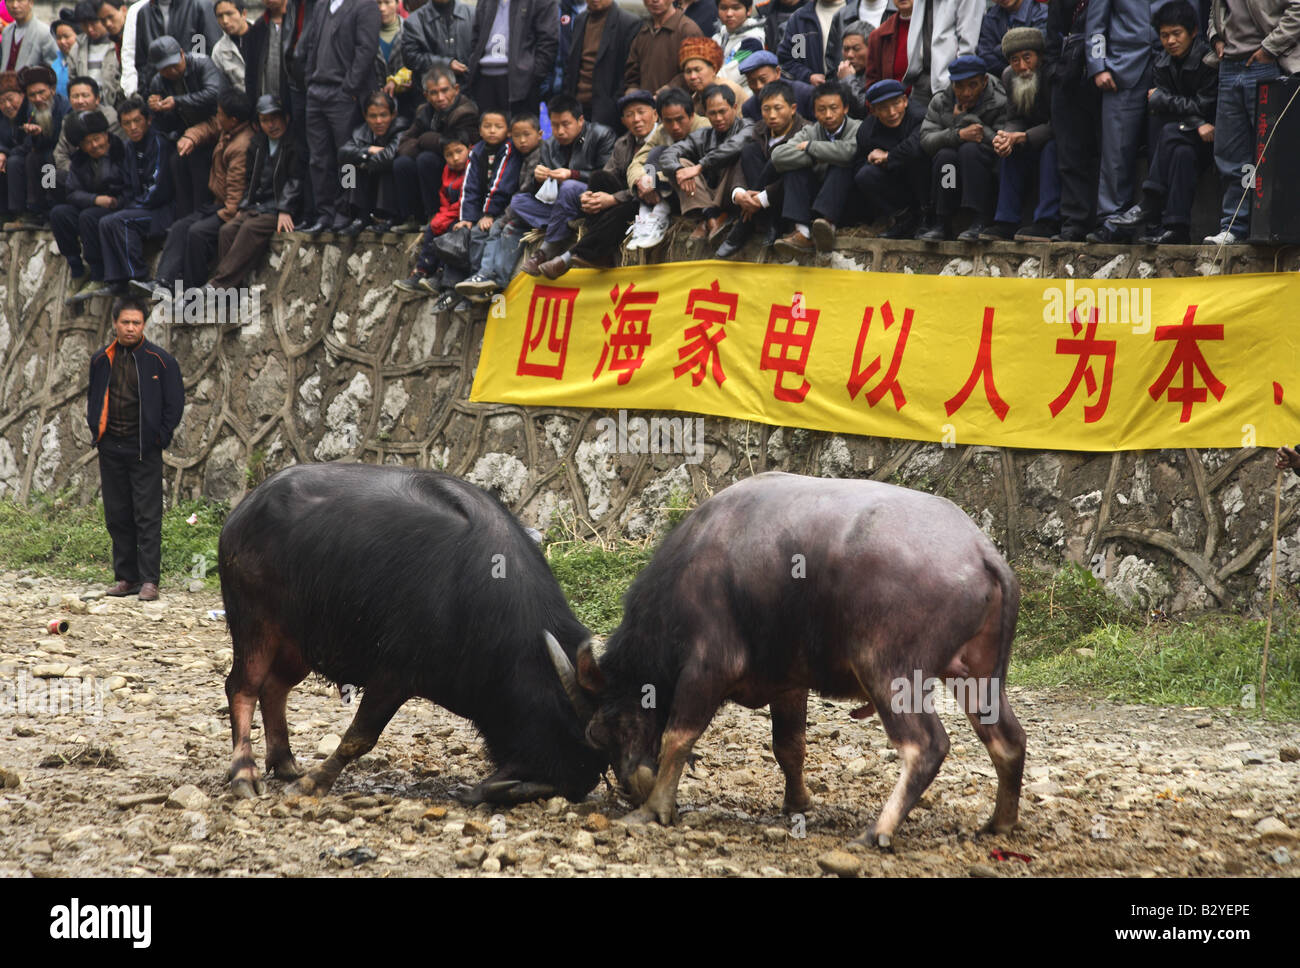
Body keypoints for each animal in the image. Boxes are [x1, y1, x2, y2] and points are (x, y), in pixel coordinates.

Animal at [219, 462, 606, 804]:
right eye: (568, 737)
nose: (573, 786)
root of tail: (248, 506)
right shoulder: (394, 674)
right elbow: (360, 737)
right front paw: (313, 784)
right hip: (254, 621)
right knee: (243, 687)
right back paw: (244, 775)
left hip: (298, 640)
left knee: (275, 688)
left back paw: (285, 763)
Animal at [551, 472, 1026, 848]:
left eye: (604, 730)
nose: (630, 787)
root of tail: (980, 551)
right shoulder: (788, 683)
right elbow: (789, 747)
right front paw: (797, 802)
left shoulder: (706, 667)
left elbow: (677, 736)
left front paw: (653, 809)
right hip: (978, 677)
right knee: (1007, 739)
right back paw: (999, 823)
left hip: (889, 671)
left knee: (925, 745)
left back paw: (878, 831)